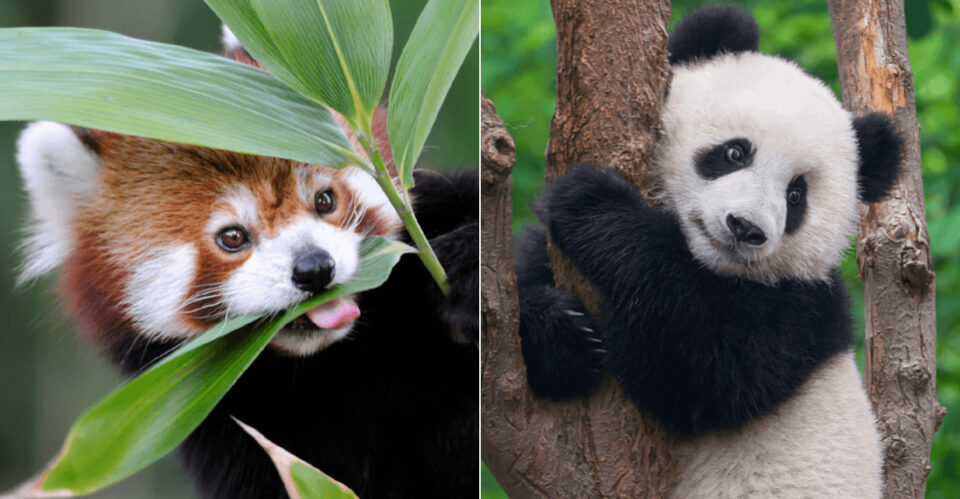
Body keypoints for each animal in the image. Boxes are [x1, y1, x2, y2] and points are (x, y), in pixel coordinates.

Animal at [516, 7, 902, 497]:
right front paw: (561, 333)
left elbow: (705, 374)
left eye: (796, 195)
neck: (705, 264)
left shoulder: (804, 309)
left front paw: (593, 204)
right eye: (735, 152)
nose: (746, 227)